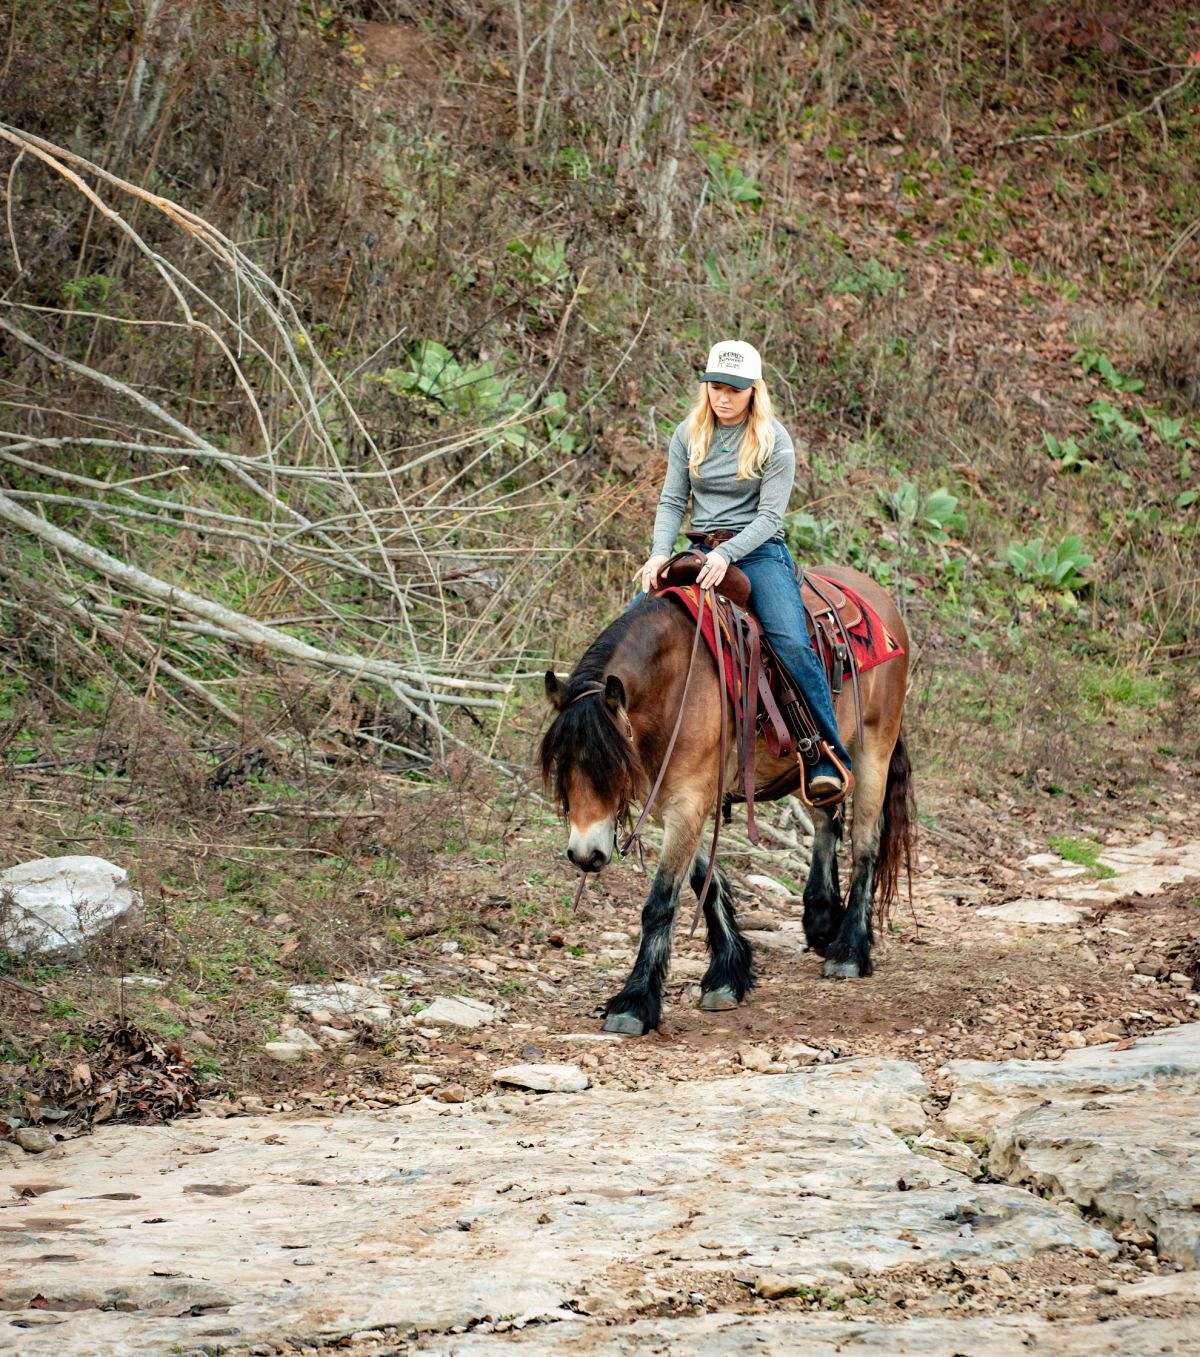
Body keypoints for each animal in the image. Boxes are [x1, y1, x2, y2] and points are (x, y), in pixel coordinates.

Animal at [538, 564, 913, 1036]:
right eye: (562, 767)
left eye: (612, 769)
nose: (584, 854)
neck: (677, 683)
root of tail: (881, 602)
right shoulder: (680, 801)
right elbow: (705, 881)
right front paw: (728, 975)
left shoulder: (688, 801)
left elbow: (660, 902)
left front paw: (634, 1003)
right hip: (819, 768)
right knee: (827, 819)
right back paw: (822, 920)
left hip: (874, 751)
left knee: (864, 846)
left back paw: (848, 951)